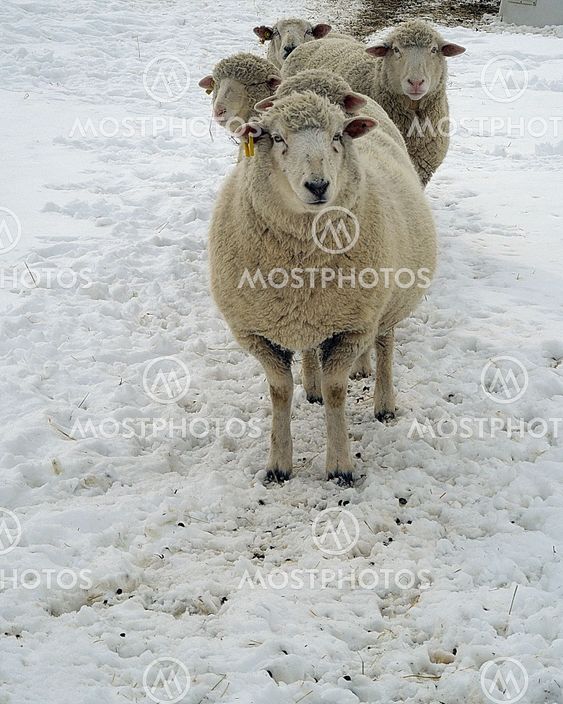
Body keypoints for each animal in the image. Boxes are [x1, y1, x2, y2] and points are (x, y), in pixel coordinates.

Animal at [208, 92, 436, 484]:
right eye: (277, 138)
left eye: (336, 137)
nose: (317, 186)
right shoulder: (257, 332)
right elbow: (280, 391)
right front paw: (278, 464)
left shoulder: (353, 326)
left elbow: (336, 390)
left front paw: (340, 466)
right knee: (313, 350)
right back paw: (314, 384)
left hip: (387, 302)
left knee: (385, 345)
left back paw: (383, 401)